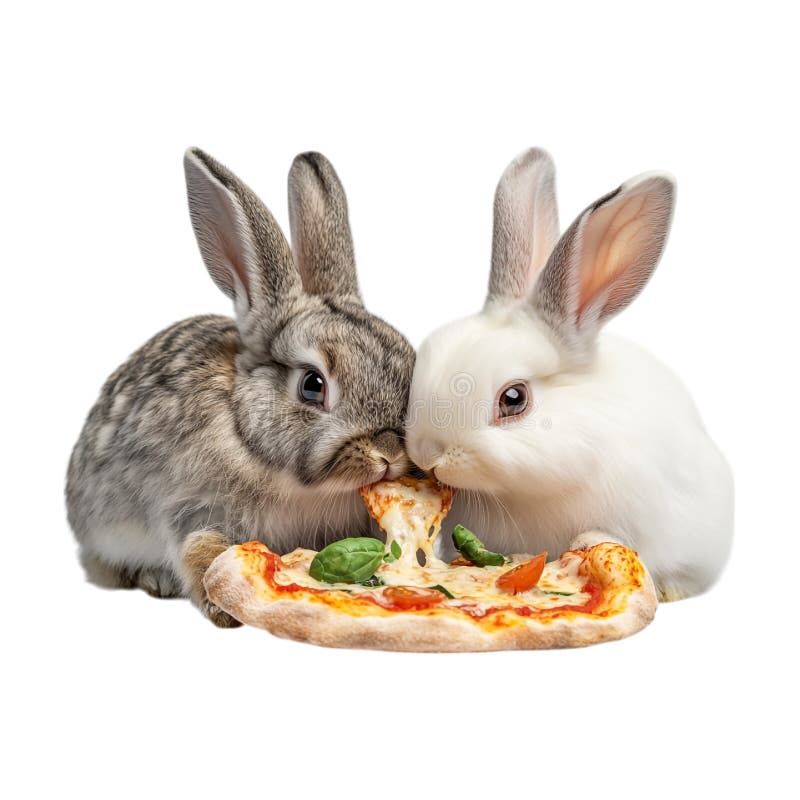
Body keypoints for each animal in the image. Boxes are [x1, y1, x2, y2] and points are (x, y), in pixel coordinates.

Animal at [66, 148, 415, 626]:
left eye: (409, 359)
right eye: (312, 386)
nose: (388, 455)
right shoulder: (193, 506)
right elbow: (202, 550)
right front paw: (223, 609)